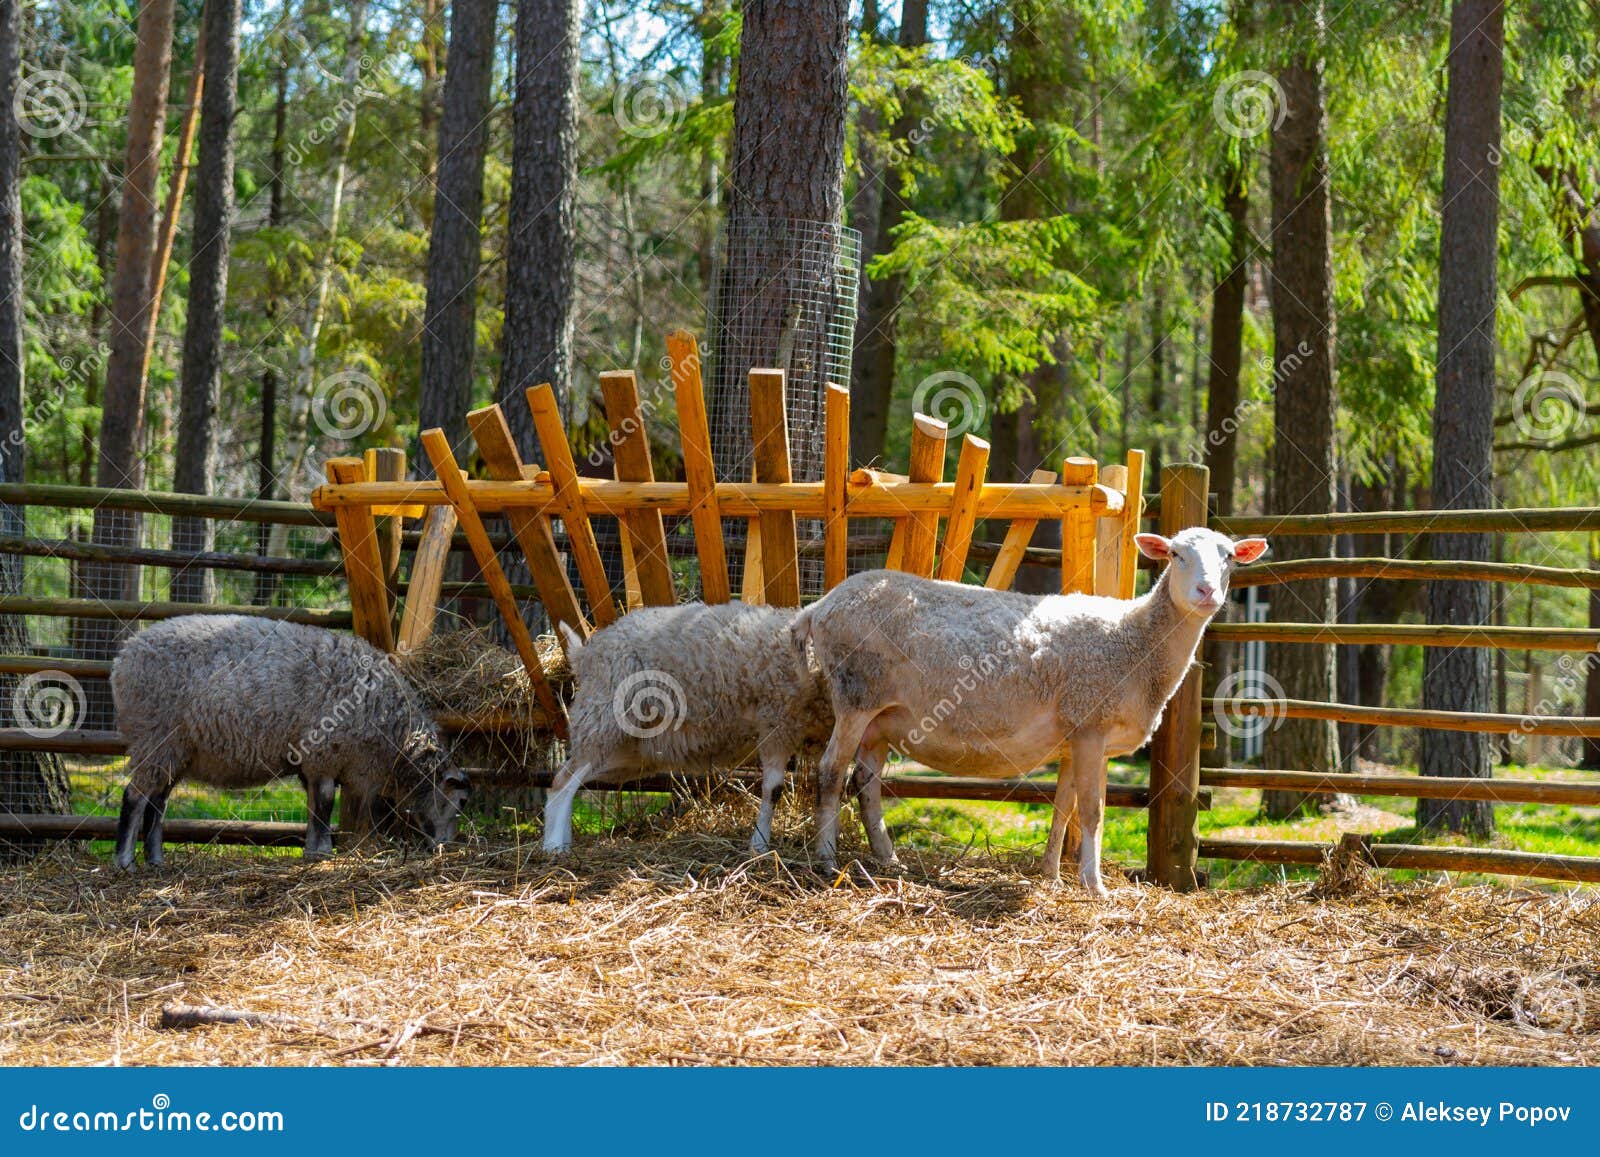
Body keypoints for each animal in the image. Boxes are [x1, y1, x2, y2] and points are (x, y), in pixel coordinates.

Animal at [110, 615, 468, 870]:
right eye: (461, 802)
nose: (446, 846)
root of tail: (125, 655)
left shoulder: (313, 762)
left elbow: (313, 807)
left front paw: (311, 850)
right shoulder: (324, 755)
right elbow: (324, 806)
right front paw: (323, 853)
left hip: (174, 751)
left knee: (157, 803)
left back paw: (156, 860)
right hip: (154, 738)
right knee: (134, 798)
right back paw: (125, 861)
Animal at [544, 602, 836, 855]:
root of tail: (584, 654)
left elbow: (825, 785)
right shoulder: (777, 722)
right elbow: (773, 790)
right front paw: (760, 844)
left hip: (626, 751)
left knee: (571, 780)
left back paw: (562, 843)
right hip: (603, 720)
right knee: (562, 782)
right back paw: (554, 847)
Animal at [791, 527, 1269, 897]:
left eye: (1229, 557)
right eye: (1175, 554)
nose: (1206, 593)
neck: (1134, 640)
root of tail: (820, 606)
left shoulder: (1078, 735)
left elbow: (1063, 807)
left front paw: (1052, 875)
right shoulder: (1090, 720)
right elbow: (1092, 811)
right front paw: (1096, 886)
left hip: (880, 716)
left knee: (865, 779)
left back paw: (887, 858)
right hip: (855, 693)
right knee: (831, 771)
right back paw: (827, 859)